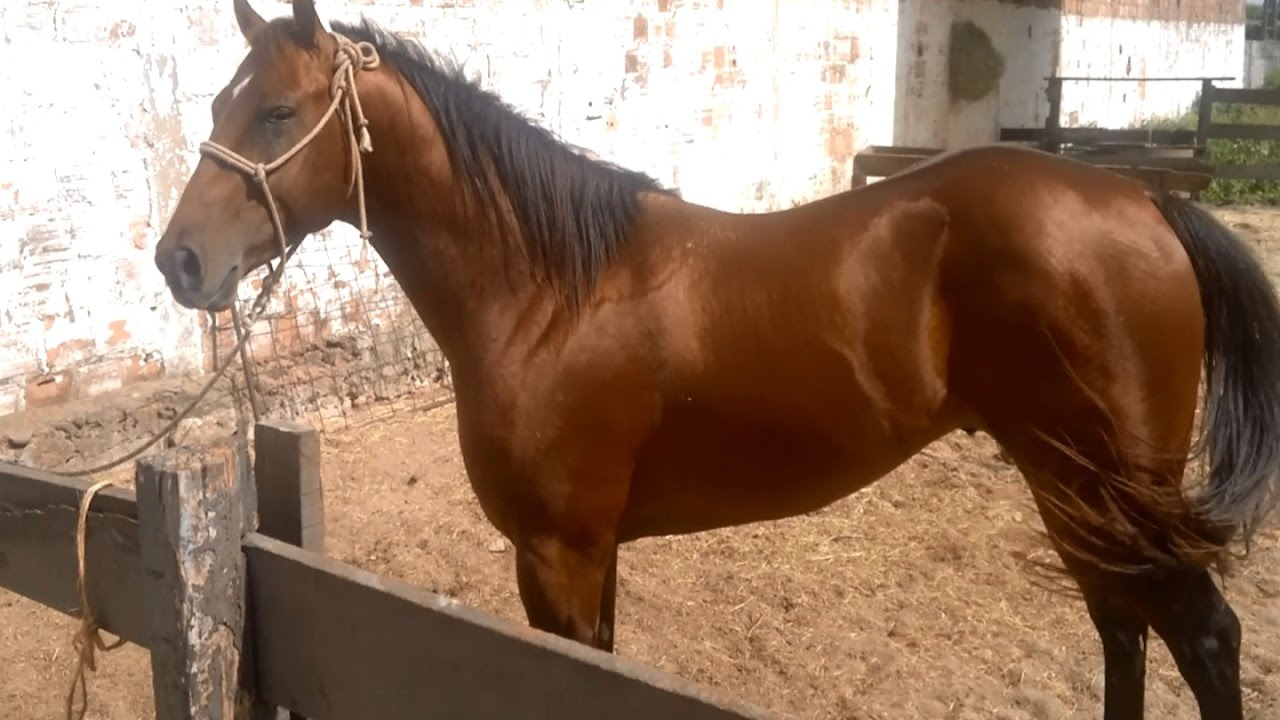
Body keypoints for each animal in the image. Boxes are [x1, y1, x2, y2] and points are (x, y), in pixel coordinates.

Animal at [152, 2, 1280, 717]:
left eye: (277, 112)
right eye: (214, 106)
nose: (179, 260)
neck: (551, 292)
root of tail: (1148, 203)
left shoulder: (558, 552)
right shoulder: (592, 551)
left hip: (1109, 487)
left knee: (1202, 638)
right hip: (1073, 487)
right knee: (1122, 628)